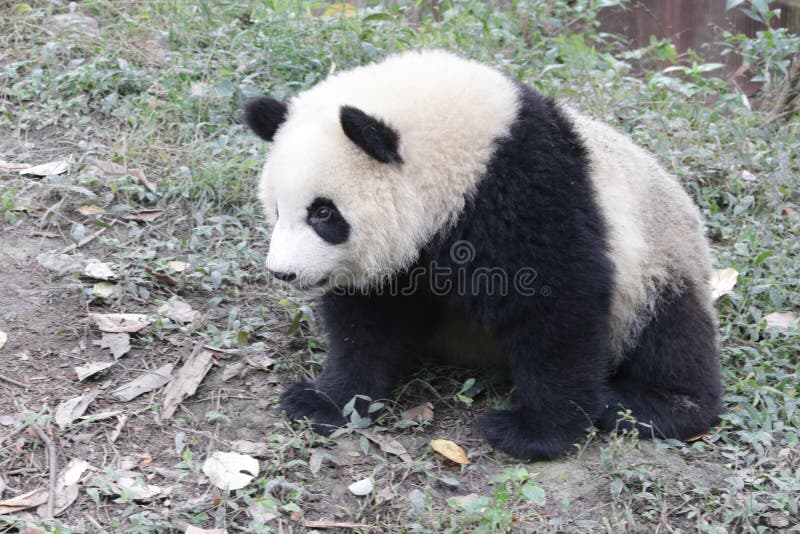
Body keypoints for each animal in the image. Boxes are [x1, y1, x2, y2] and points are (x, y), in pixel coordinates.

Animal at [243, 50, 723, 461]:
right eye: (278, 209)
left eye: (323, 213)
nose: (283, 273)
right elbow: (369, 321)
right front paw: (322, 401)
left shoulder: (524, 187)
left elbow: (556, 304)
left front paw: (534, 431)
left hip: (658, 260)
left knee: (670, 333)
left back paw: (648, 405)